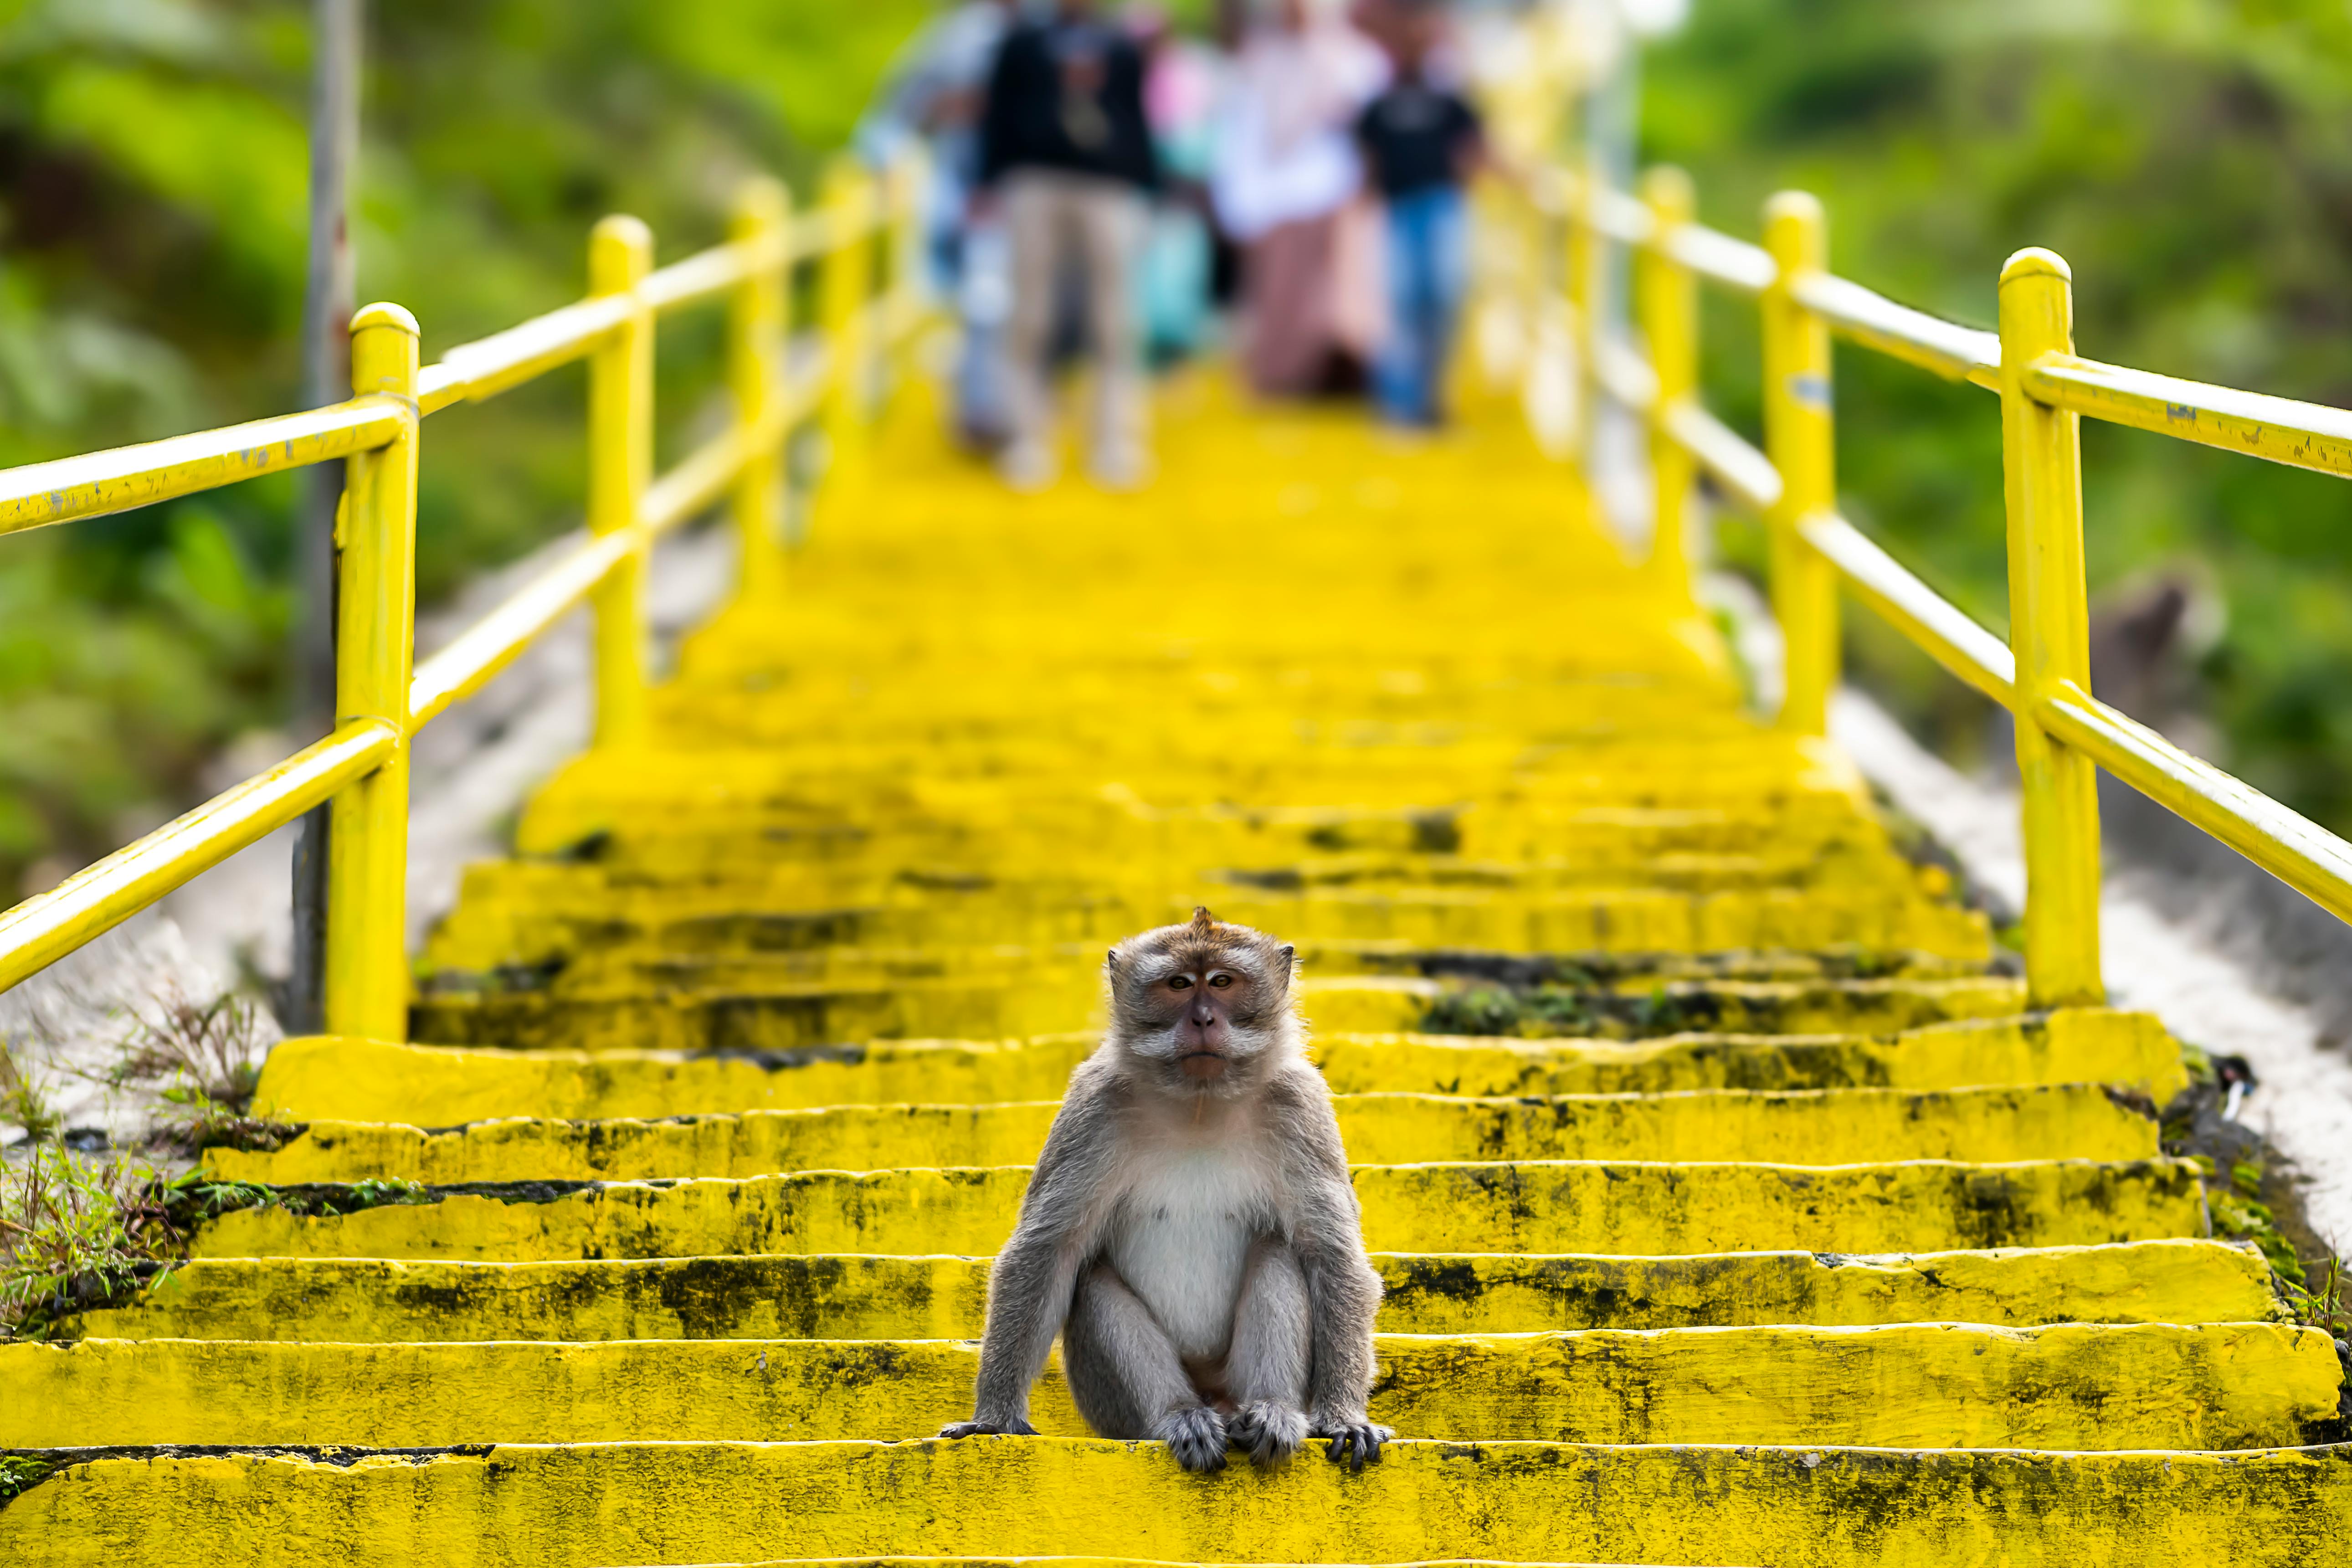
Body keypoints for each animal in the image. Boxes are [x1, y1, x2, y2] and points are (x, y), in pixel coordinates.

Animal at [938, 907, 1390, 1473]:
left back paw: (1270, 1413)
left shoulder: (1299, 1108)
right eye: (1177, 985)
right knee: (1091, 1282)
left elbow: (1331, 1254)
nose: (1202, 1020)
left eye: (1221, 983)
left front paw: (1344, 1416)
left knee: (1279, 1249)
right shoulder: (1094, 1108)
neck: (1199, 1104)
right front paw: (994, 1419)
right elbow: (1047, 1250)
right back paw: (1178, 1418)